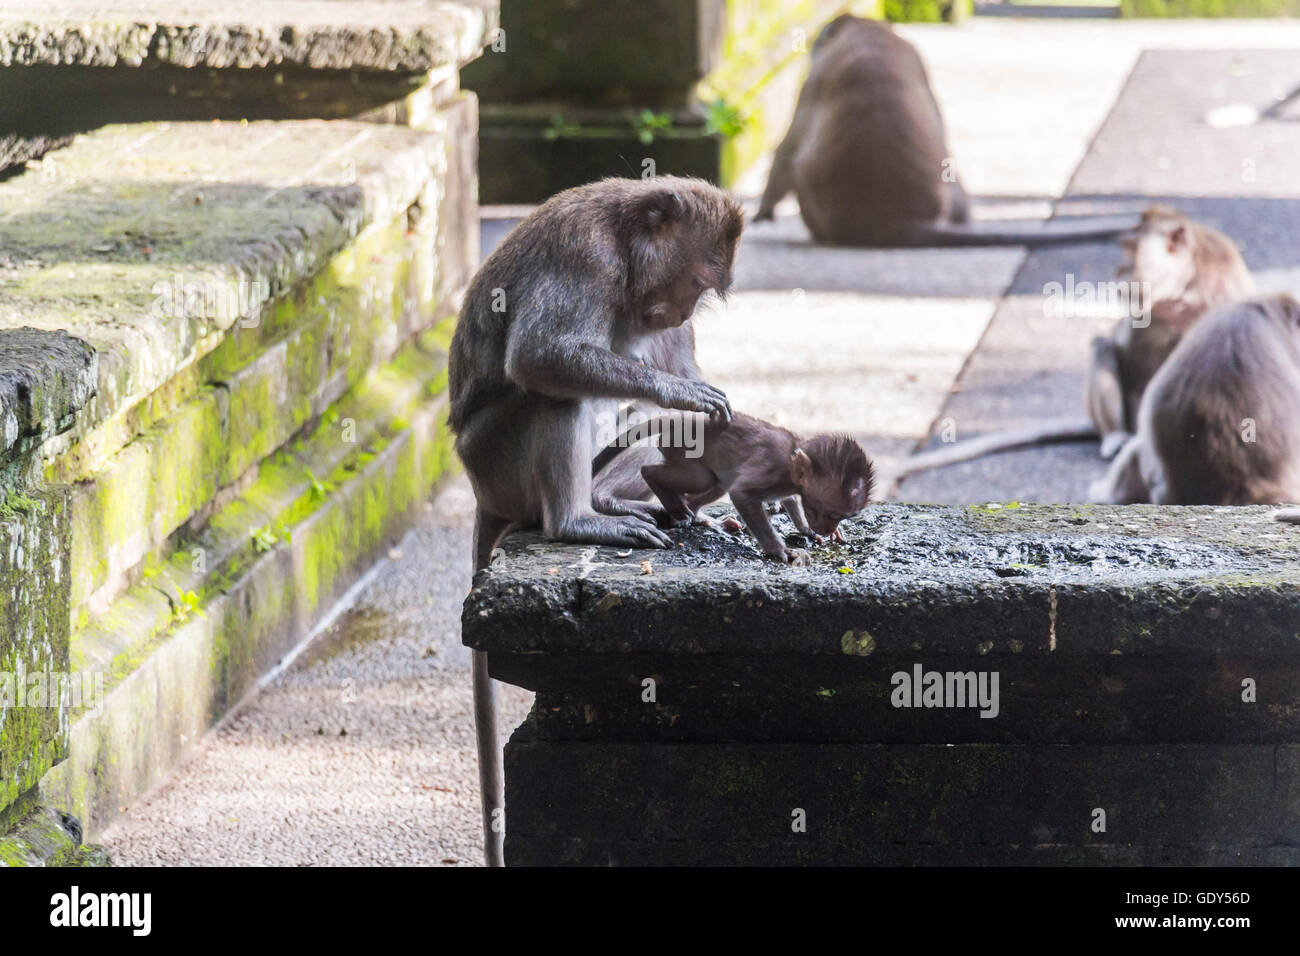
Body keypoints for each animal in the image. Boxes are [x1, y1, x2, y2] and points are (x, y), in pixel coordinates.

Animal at [447, 175, 743, 866]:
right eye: (696, 279)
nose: (684, 313)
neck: (627, 245)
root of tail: (483, 496)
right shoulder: (584, 258)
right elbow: (540, 355)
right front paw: (686, 397)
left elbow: (682, 403)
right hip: (494, 459)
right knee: (552, 392)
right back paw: (578, 521)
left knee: (643, 429)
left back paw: (626, 502)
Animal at [593, 413, 874, 566]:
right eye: (830, 513)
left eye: (842, 517)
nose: (828, 527)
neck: (793, 460)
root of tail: (680, 418)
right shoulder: (772, 471)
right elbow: (742, 494)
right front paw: (780, 550)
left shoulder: (792, 484)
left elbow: (792, 499)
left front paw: (807, 530)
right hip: (679, 447)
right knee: (695, 477)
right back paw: (670, 499)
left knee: (717, 484)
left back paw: (696, 515)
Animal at [892, 208, 1255, 482]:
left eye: (1132, 250)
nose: (1119, 270)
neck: (1183, 290)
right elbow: (1123, 346)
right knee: (1103, 348)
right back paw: (1115, 438)